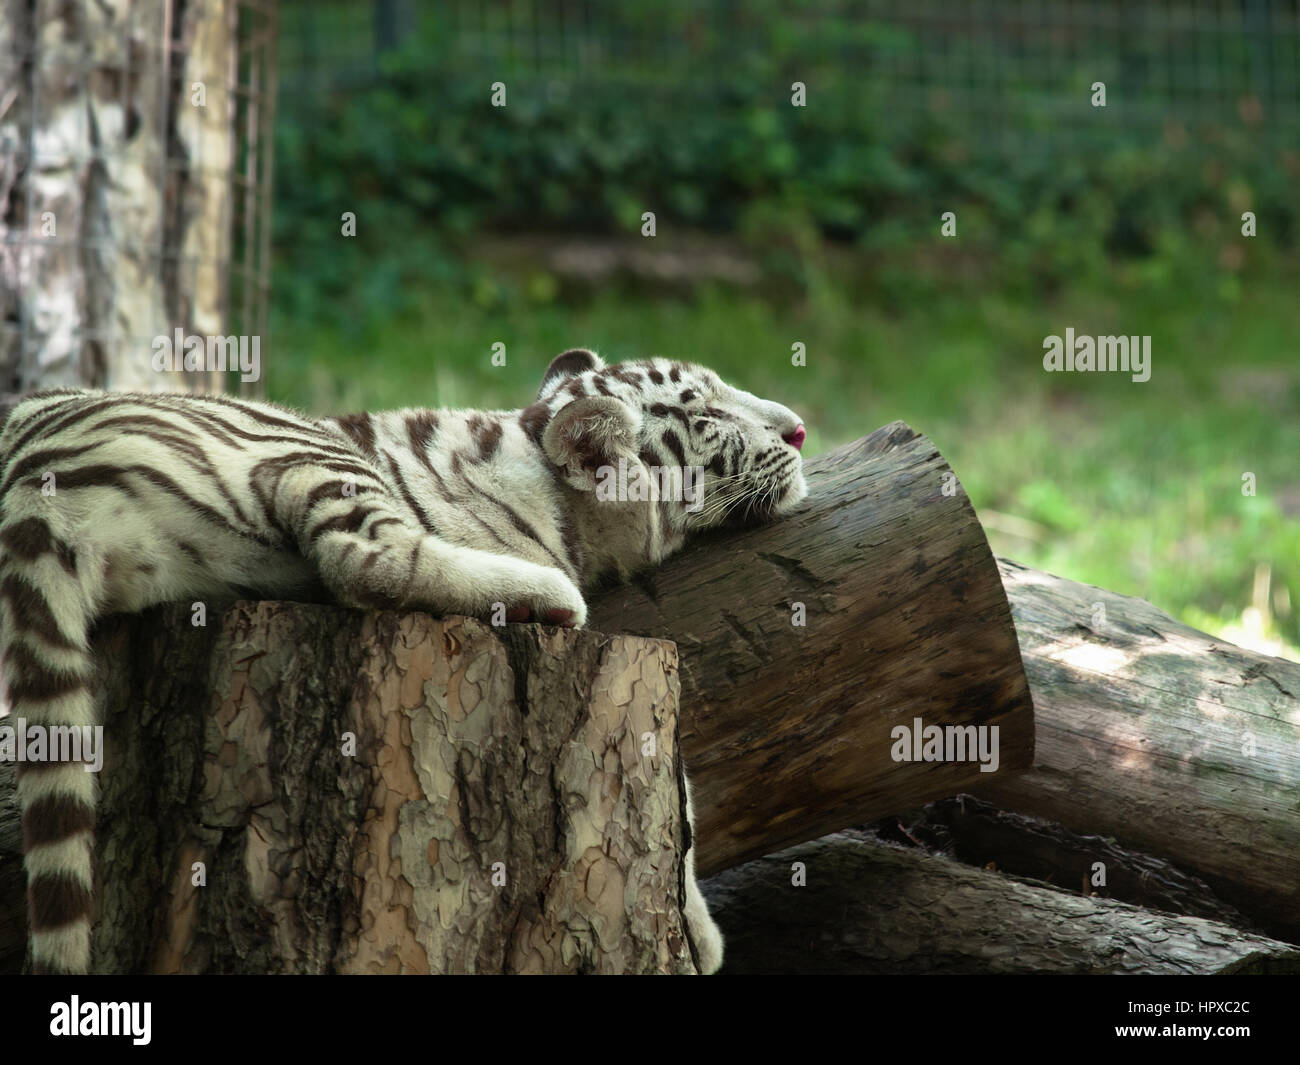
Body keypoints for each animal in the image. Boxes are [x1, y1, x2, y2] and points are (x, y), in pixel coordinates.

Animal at [0, 347, 808, 975]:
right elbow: (681, 782)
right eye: (706, 413)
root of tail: (28, 474)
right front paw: (702, 934)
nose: (801, 428)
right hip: (299, 443)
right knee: (364, 557)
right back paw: (547, 596)